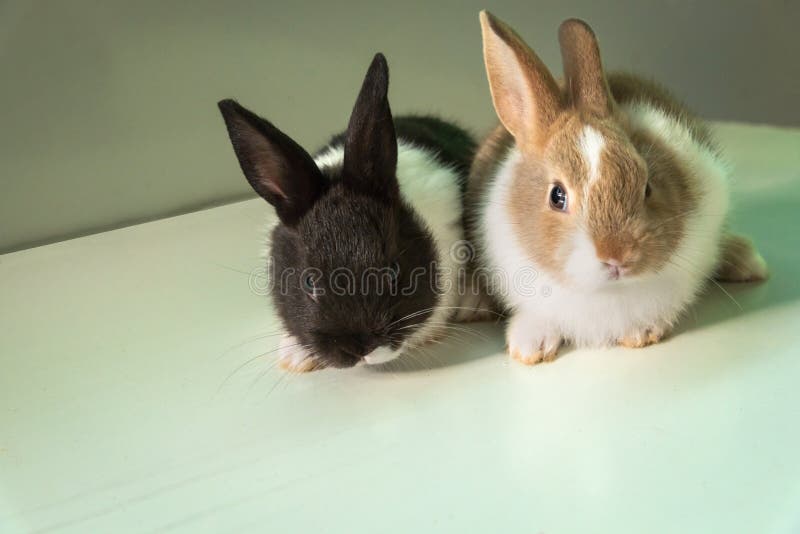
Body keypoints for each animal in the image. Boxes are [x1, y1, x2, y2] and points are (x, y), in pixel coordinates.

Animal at [466, 12, 768, 364]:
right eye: (557, 196)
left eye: (647, 186)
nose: (617, 256)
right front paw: (529, 348)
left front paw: (641, 333)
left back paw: (747, 262)